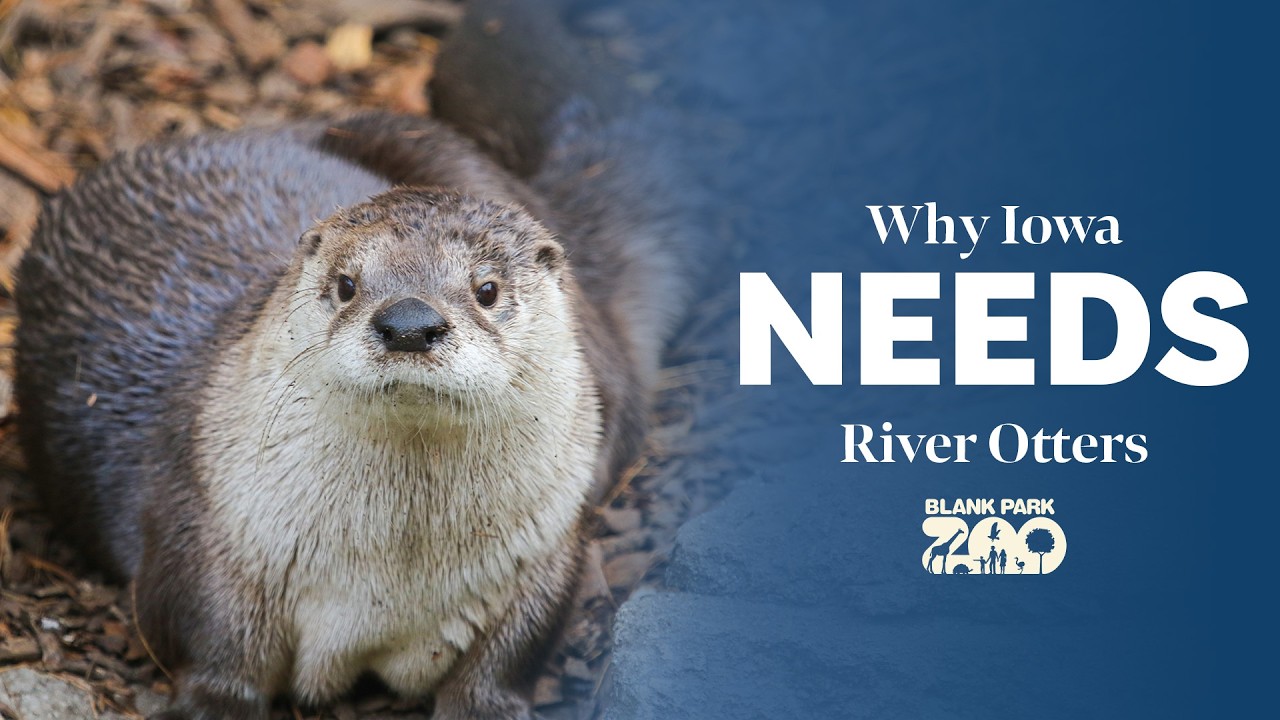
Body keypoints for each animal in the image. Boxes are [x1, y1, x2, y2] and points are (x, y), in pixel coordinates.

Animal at [12, 2, 698, 718]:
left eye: (487, 289)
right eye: (346, 284)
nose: (409, 323)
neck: (387, 582)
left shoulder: (540, 556)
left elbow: (515, 647)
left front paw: (485, 702)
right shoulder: (204, 526)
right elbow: (208, 636)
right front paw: (214, 701)